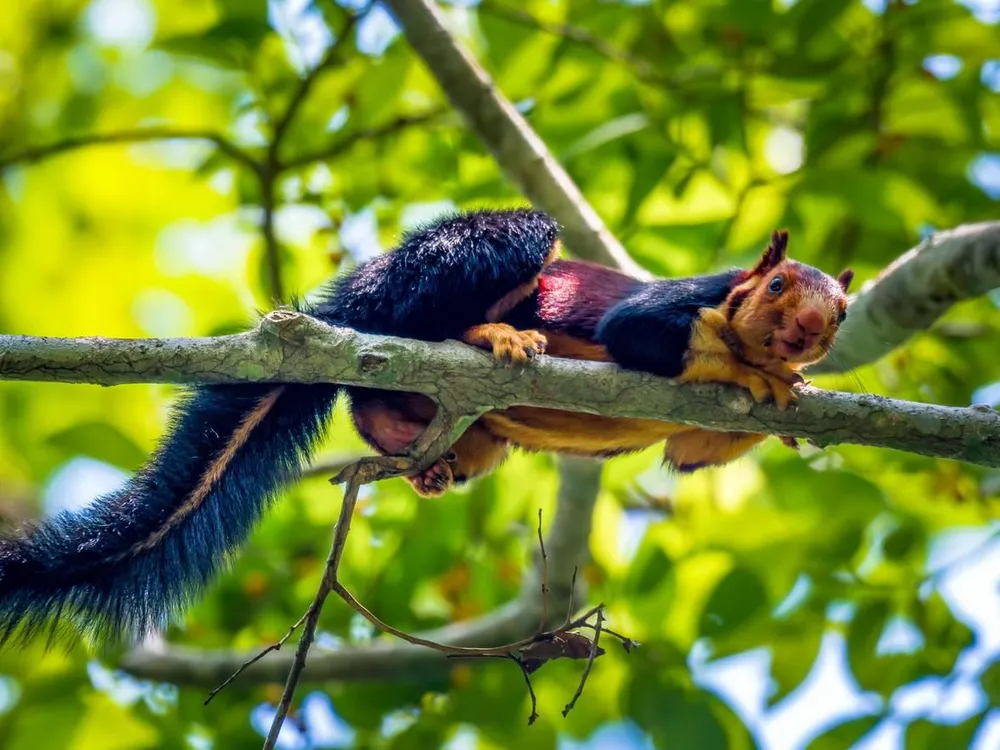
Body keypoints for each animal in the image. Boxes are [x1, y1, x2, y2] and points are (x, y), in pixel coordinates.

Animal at [0, 209, 852, 646]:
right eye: (778, 284)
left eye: (841, 311)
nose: (809, 331)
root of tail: (347, 310)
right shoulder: (681, 303)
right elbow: (648, 335)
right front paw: (749, 369)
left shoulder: (692, 439)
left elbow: (694, 448)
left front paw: (790, 390)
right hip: (458, 264)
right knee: (424, 315)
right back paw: (487, 334)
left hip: (462, 433)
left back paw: (427, 459)